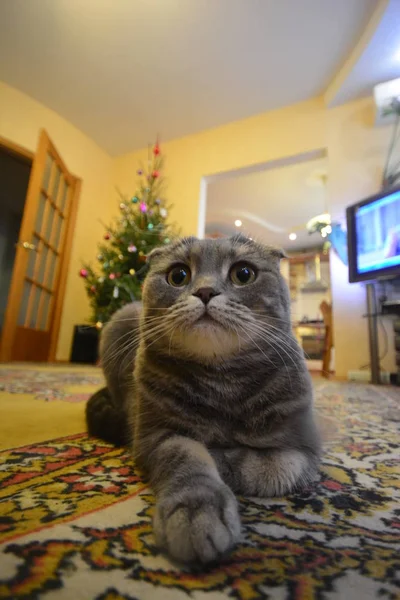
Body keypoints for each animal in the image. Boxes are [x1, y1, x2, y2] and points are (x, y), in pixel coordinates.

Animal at [86, 233, 320, 564]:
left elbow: (273, 467)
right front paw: (197, 512)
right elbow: (189, 458)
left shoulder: (305, 445)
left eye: (243, 274)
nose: (205, 291)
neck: (221, 383)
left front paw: (225, 459)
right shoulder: (158, 433)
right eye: (178, 275)